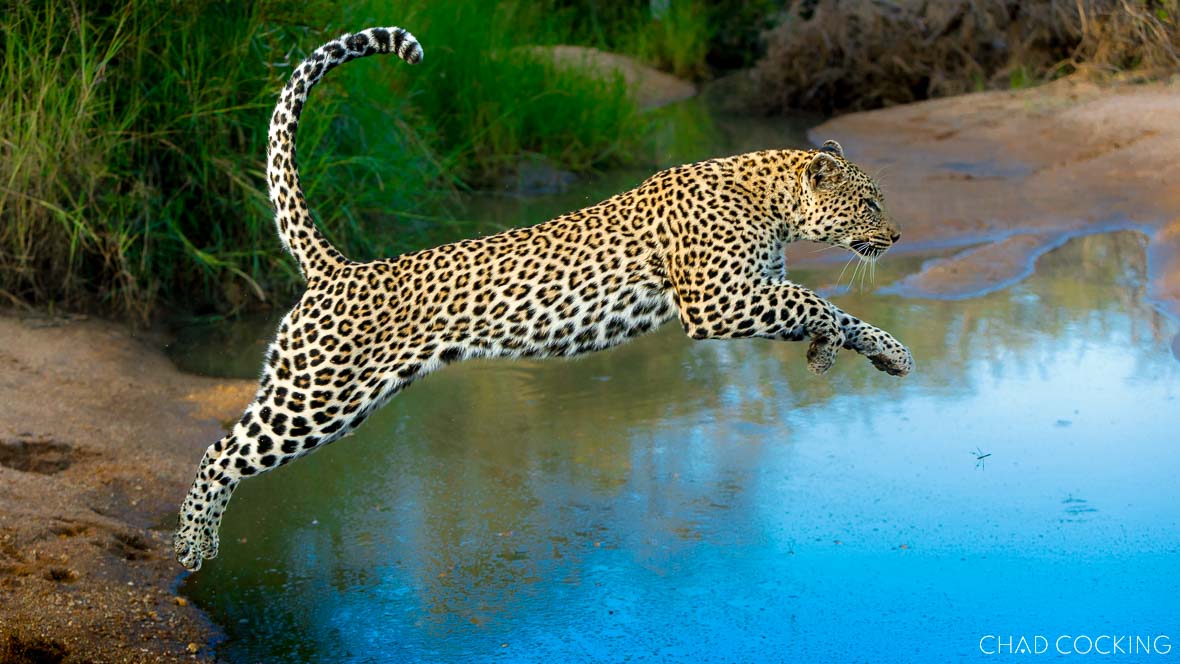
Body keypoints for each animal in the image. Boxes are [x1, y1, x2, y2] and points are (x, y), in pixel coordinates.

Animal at [174, 26, 913, 571]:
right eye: (871, 202)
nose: (900, 235)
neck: (772, 201)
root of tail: (338, 268)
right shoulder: (718, 300)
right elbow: (819, 303)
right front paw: (829, 349)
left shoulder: (753, 289)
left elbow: (837, 311)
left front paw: (885, 354)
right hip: (314, 397)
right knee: (220, 453)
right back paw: (190, 544)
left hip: (338, 401)